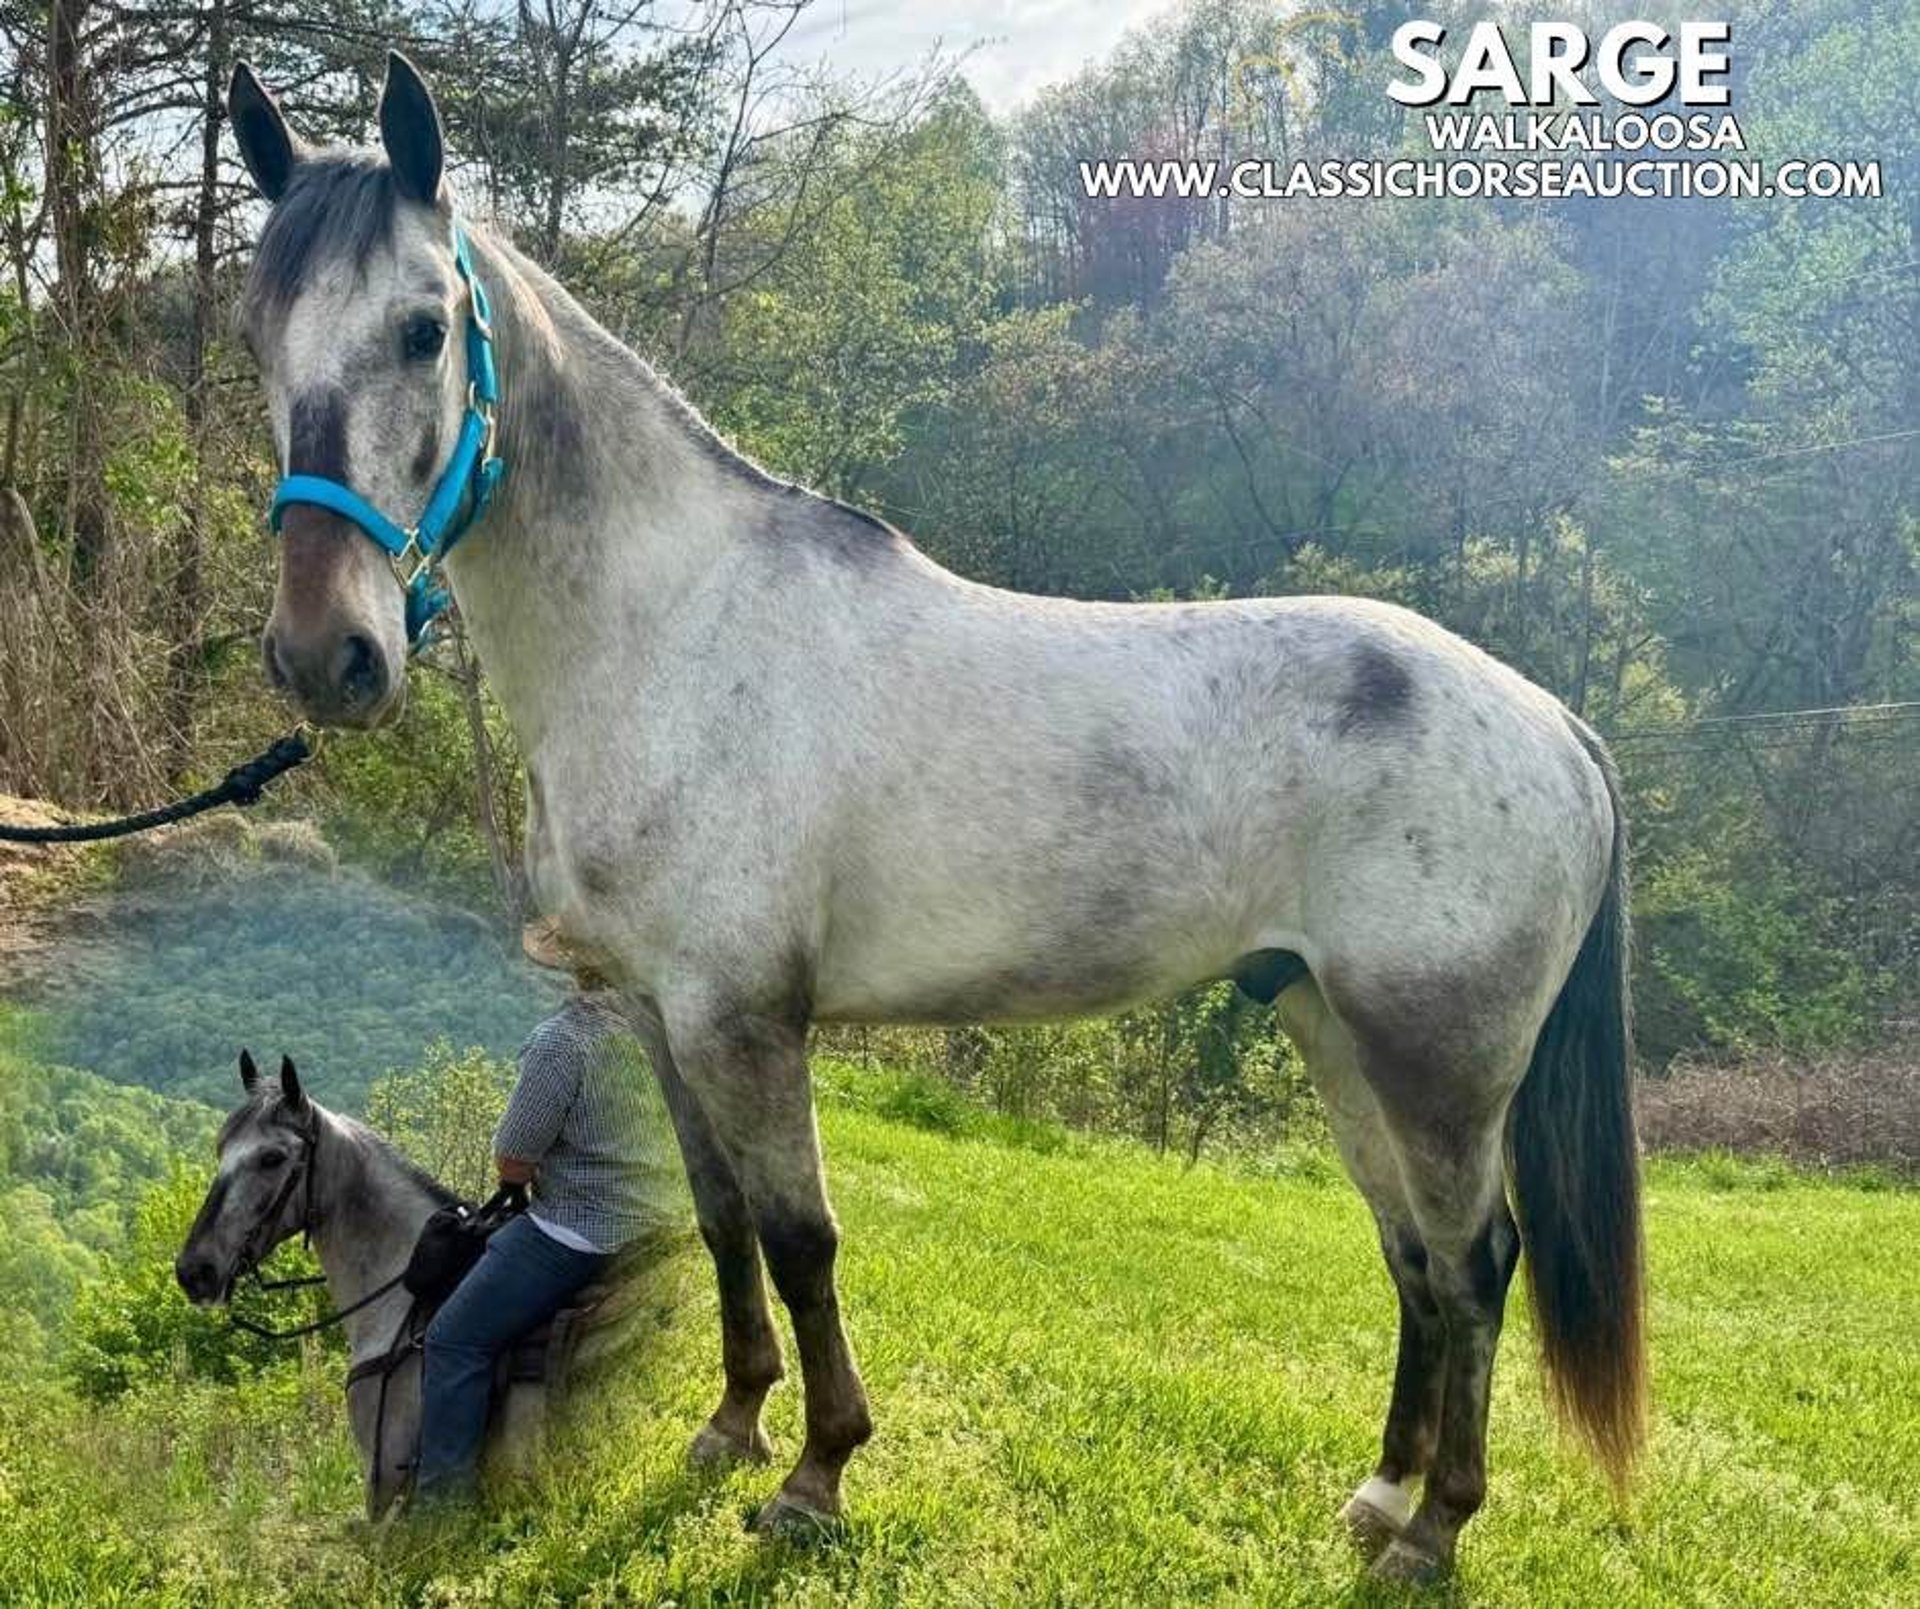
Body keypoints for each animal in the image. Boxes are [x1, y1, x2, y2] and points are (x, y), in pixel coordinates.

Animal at [224, 52, 1645, 1579]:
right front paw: (732, 1425)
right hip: (1332, 1032)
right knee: (1413, 1258)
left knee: (1476, 1261)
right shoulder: (662, 1016)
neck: (673, 628)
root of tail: (1552, 724)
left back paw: (1434, 1530)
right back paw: (1381, 1494)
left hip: (1439, 1069)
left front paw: (815, 1476)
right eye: (258, 338)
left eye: (423, 329)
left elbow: (801, 1237)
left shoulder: (745, 1019)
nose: (326, 654)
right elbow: (723, 1224)